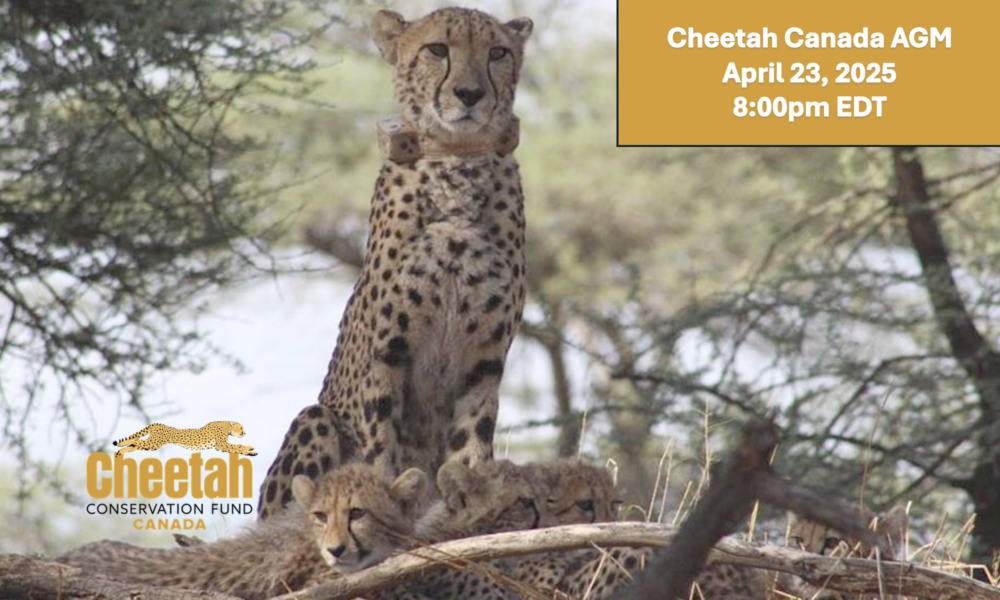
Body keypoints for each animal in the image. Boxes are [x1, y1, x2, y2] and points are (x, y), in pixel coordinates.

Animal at [111, 421, 256, 457]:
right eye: (241, 428)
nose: (245, 432)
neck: (227, 426)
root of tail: (158, 423)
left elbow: (238, 446)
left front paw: (251, 450)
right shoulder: (220, 445)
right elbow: (236, 447)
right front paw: (250, 451)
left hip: (151, 444)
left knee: (135, 445)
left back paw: (119, 452)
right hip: (154, 443)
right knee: (135, 441)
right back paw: (120, 446)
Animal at [258, 5, 533, 520]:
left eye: (498, 53)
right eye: (437, 49)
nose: (470, 94)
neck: (457, 166)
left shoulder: (484, 365)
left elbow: (471, 449)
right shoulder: (389, 354)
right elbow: (379, 452)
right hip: (315, 418)